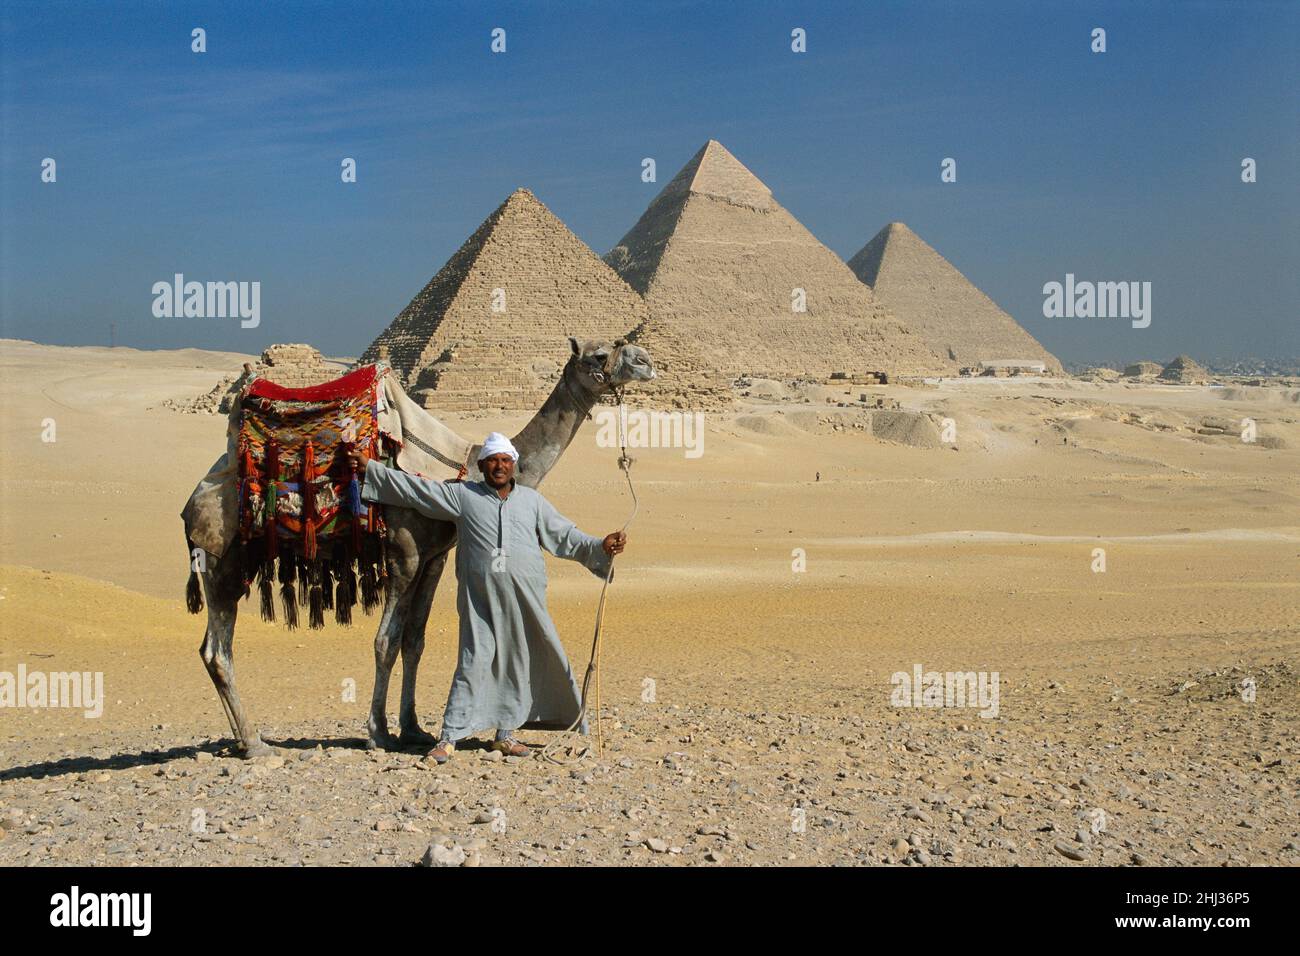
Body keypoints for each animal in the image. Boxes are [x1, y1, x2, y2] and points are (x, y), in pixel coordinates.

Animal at [185, 337, 655, 757]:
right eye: (600, 353)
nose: (645, 361)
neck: (463, 467)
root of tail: (193, 503)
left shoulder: (434, 558)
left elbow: (415, 640)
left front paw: (413, 728)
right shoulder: (405, 553)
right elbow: (385, 641)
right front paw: (378, 732)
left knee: (213, 650)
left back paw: (242, 739)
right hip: (221, 560)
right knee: (218, 652)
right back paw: (255, 743)